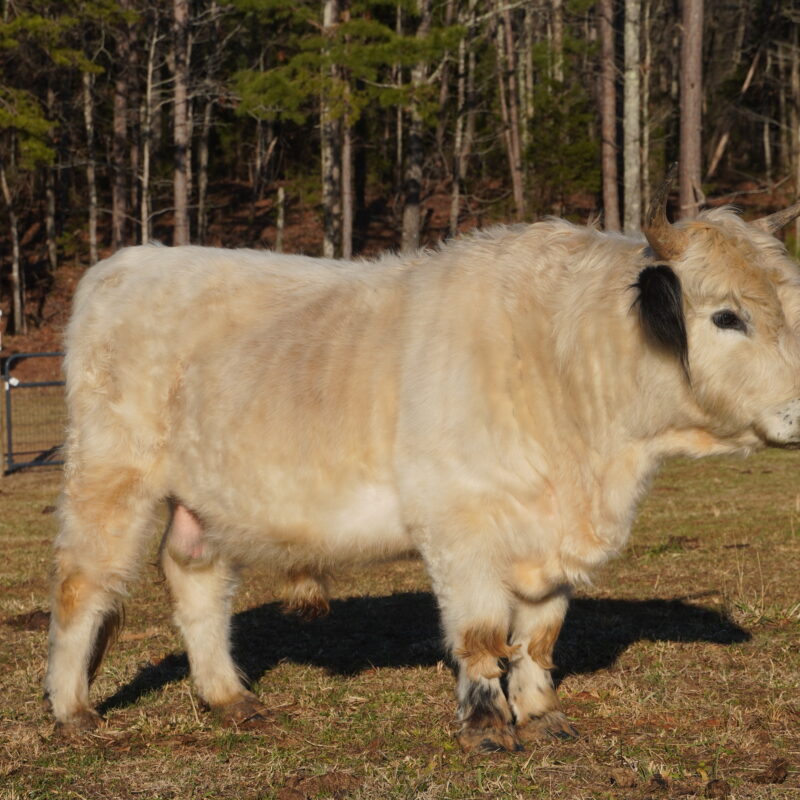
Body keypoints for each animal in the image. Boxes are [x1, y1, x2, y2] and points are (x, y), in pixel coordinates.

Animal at [45, 170, 800, 753]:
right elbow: (482, 634)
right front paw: (488, 728)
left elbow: (539, 637)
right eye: (727, 316)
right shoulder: (461, 526)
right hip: (110, 477)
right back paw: (72, 710)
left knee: (194, 578)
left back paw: (230, 698)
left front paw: (542, 717)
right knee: (84, 585)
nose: (799, 409)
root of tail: (128, 261)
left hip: (204, 499)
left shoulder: (550, 540)